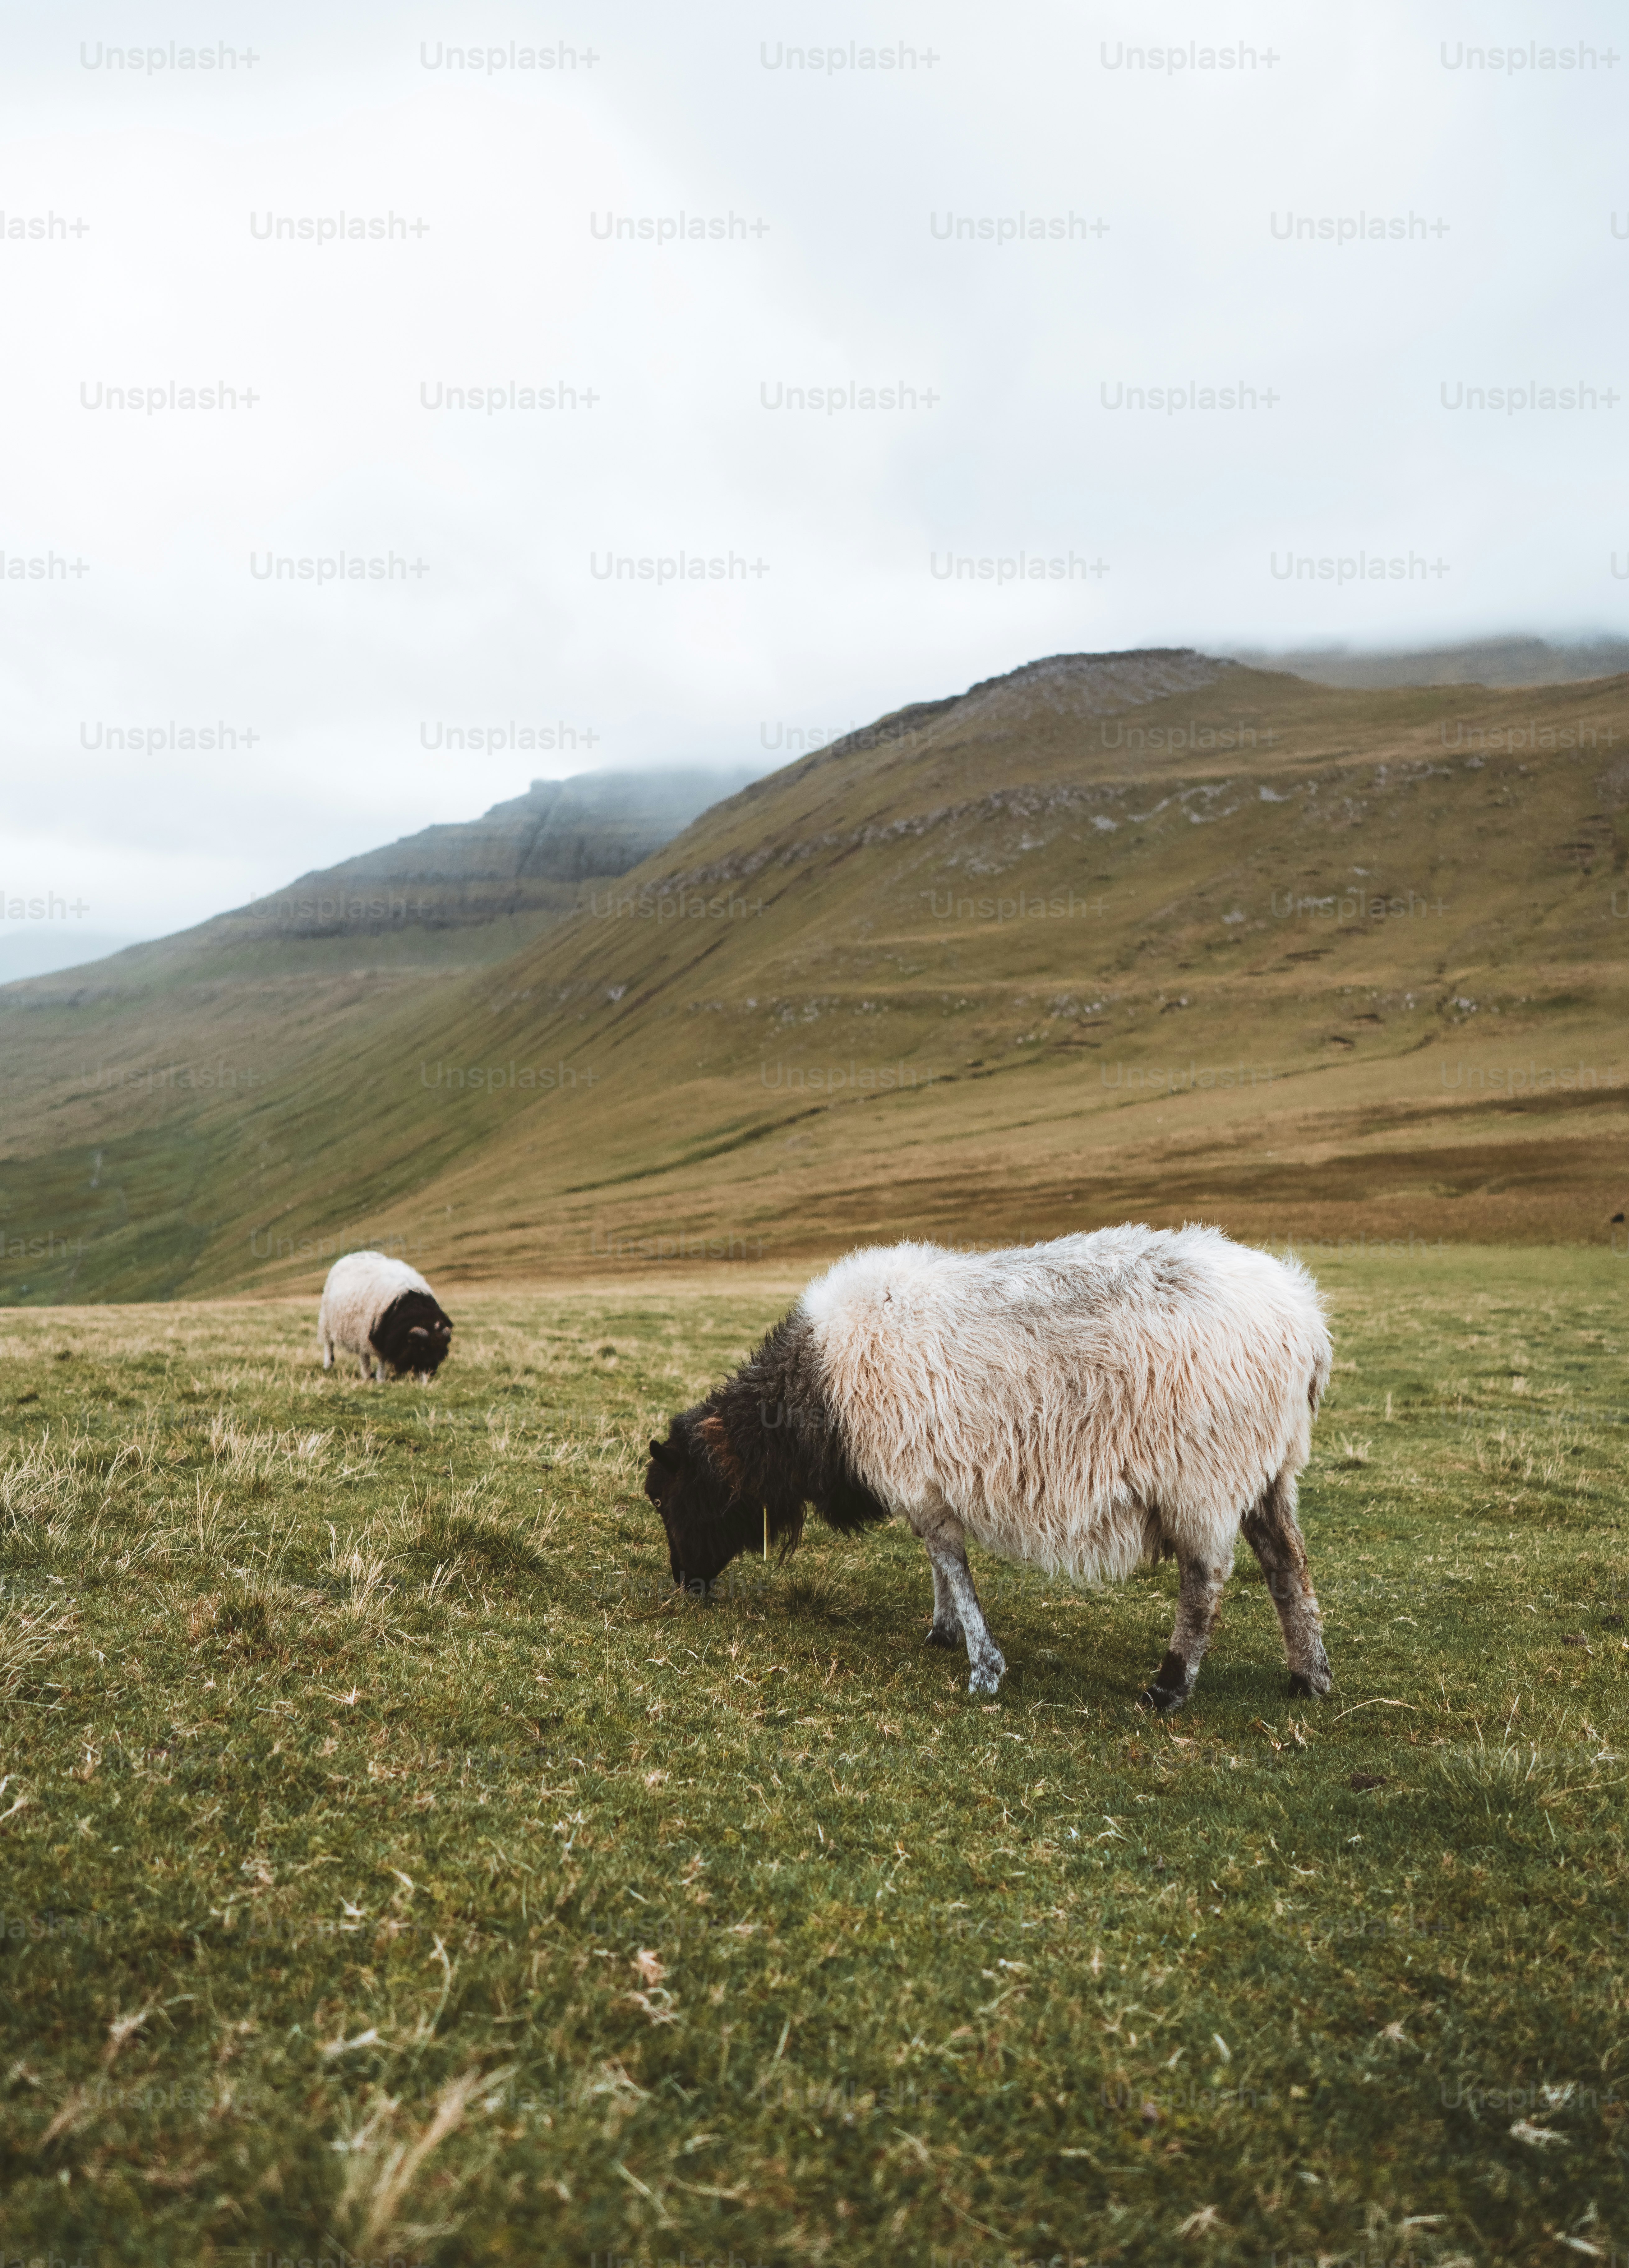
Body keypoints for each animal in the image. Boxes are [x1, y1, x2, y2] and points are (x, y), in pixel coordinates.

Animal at [317, 1251, 453, 1382]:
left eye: (441, 1348)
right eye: (423, 1348)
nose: (432, 1371)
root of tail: (351, 1255)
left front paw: (422, 1382)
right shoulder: (380, 1333)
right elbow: (382, 1359)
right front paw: (381, 1380)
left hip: (359, 1330)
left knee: (363, 1354)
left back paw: (368, 1375)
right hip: (330, 1320)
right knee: (329, 1343)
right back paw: (329, 1365)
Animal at [644, 1223, 1332, 1710]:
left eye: (664, 1497)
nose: (683, 1582)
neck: (816, 1393)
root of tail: (1305, 1319)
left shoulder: (914, 1477)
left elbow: (950, 1560)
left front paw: (982, 1667)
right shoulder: (926, 1479)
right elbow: (939, 1561)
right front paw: (944, 1631)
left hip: (1202, 1476)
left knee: (1205, 1583)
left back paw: (1167, 1688)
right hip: (1271, 1470)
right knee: (1288, 1564)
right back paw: (1311, 1676)